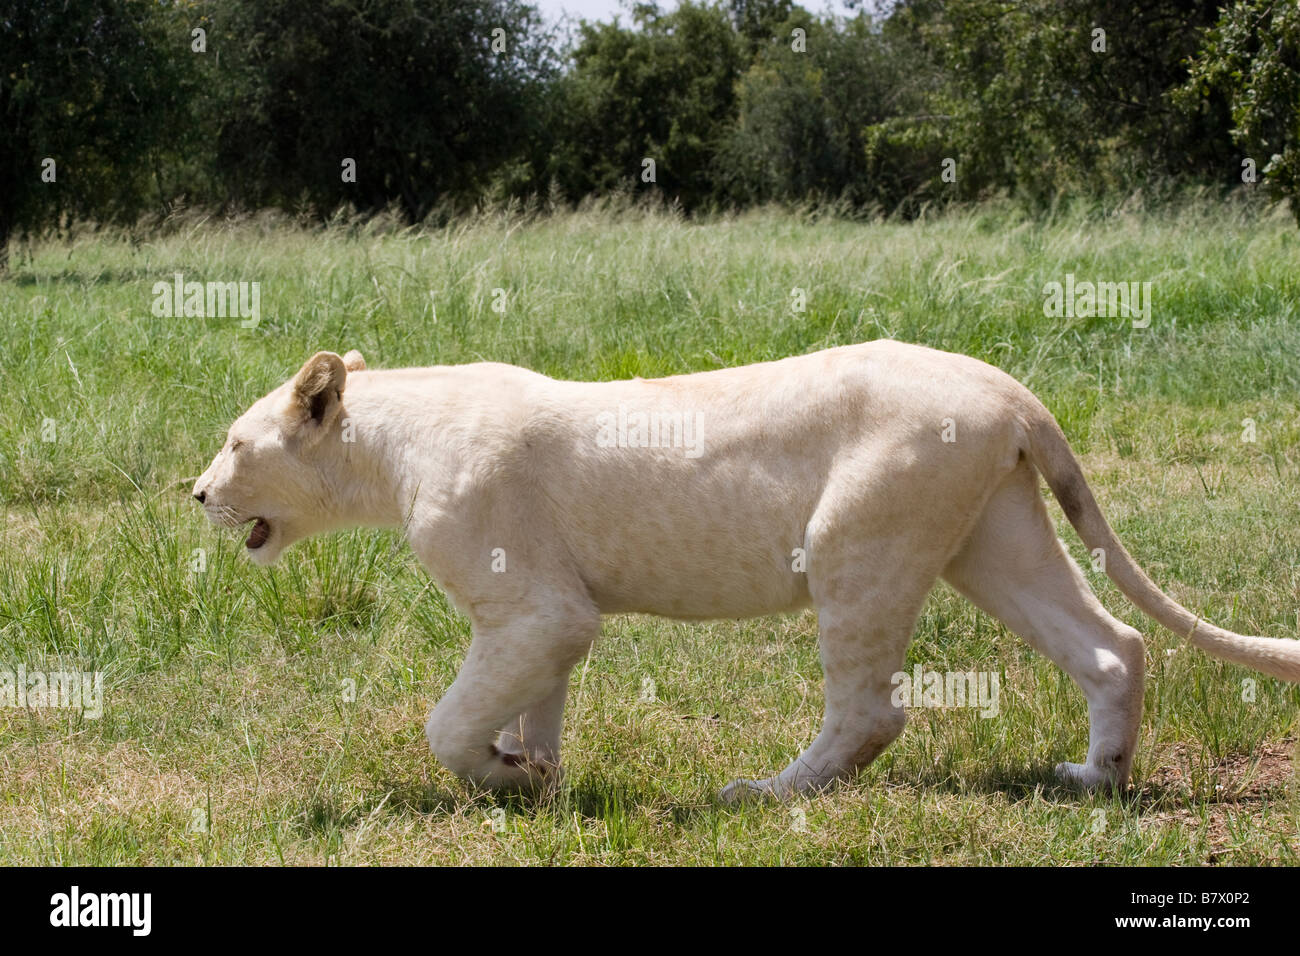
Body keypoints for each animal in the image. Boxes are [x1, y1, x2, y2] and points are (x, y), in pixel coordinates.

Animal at [193, 342, 1300, 801]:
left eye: (236, 442)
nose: (197, 493)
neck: (385, 451)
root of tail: (1010, 388)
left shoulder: (538, 608)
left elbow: (449, 722)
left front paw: (502, 772)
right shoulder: (536, 617)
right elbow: (532, 701)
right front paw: (535, 778)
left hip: (861, 542)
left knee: (872, 711)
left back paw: (762, 793)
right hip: (994, 540)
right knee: (1114, 647)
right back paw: (1093, 778)